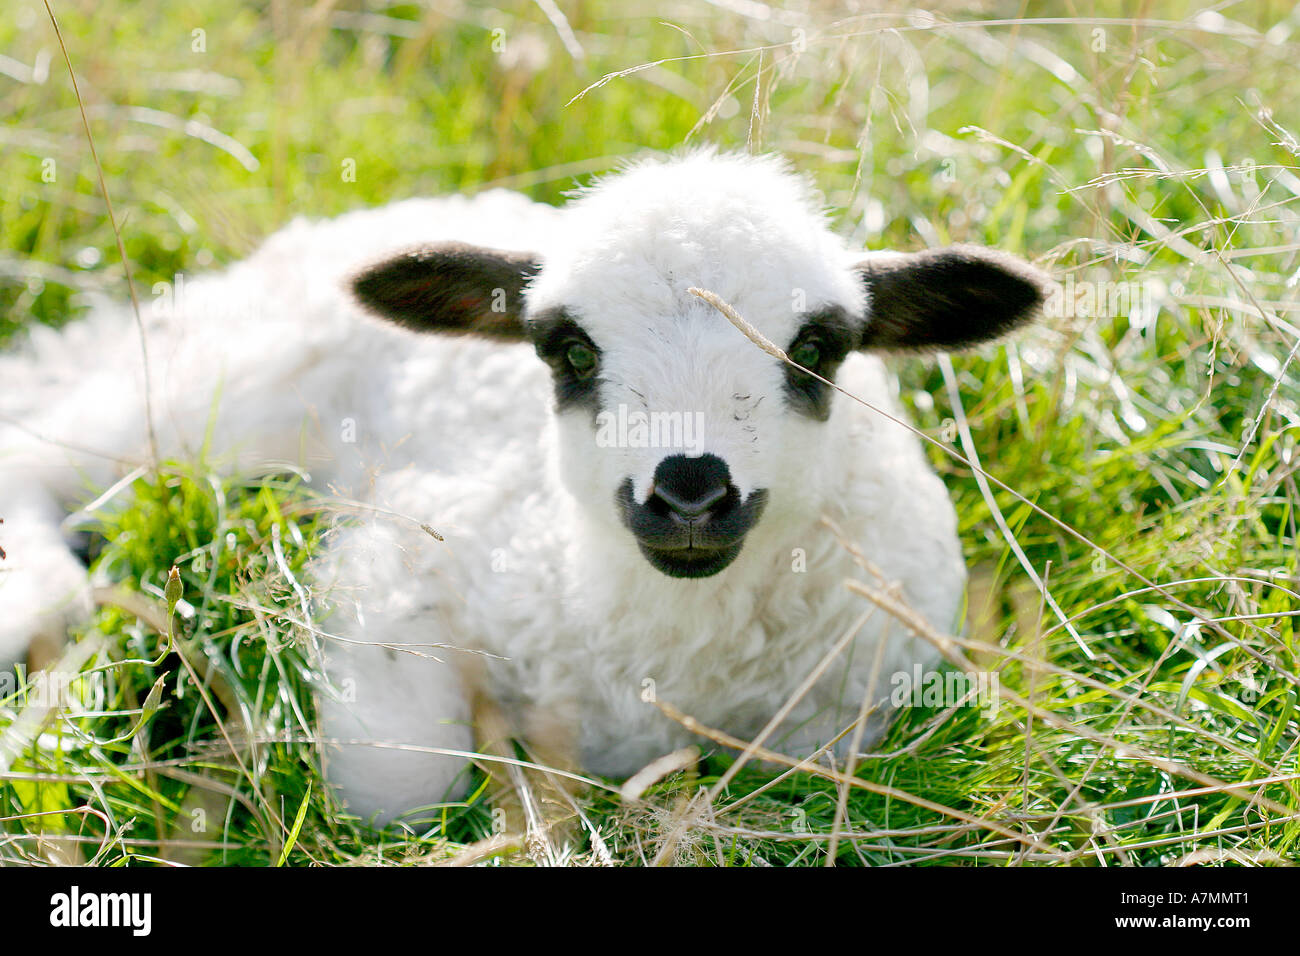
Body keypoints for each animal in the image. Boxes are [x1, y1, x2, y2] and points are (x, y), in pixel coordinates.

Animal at [0, 150, 1046, 825]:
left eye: (818, 350)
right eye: (568, 350)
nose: (690, 492)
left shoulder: (855, 719)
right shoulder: (404, 562)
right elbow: (399, 786)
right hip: (216, 398)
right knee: (40, 457)